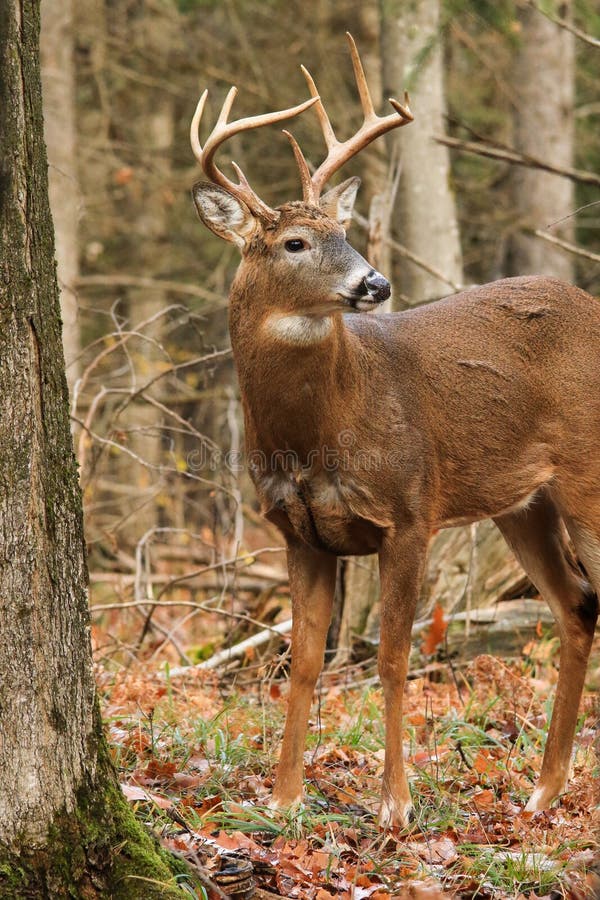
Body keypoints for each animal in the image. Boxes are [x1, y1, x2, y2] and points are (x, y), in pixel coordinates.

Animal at [189, 33, 600, 828]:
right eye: (294, 242)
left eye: (344, 231)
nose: (374, 283)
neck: (315, 432)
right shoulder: (298, 531)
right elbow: (305, 661)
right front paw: (284, 799)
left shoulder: (410, 512)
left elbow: (391, 657)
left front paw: (395, 804)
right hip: (524, 503)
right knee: (576, 608)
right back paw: (544, 789)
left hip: (588, 475)